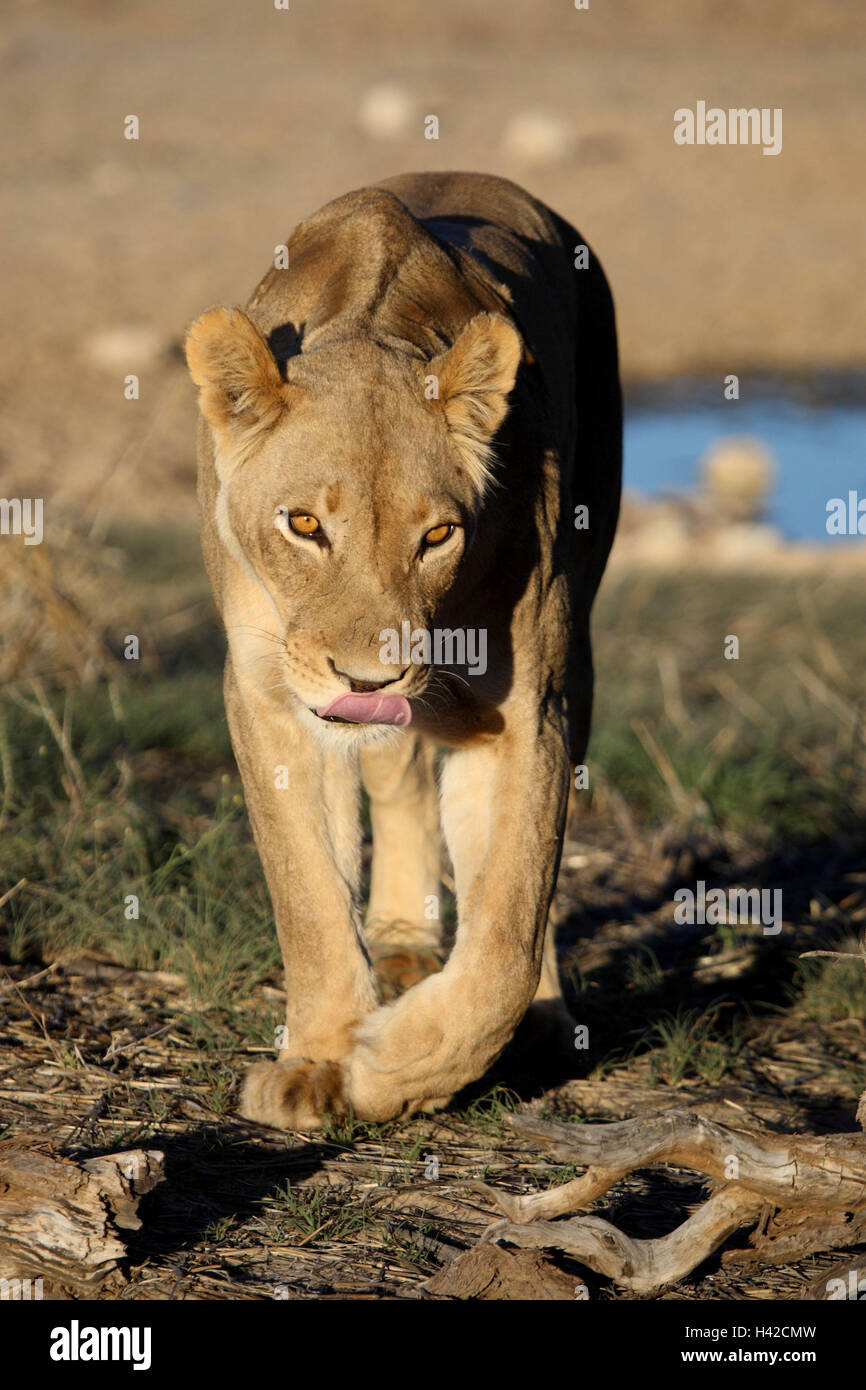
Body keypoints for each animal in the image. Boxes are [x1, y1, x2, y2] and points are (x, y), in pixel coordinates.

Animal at [184, 171, 621, 1128]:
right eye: (303, 524)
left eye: (437, 536)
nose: (369, 678)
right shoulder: (267, 699)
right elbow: (308, 899)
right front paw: (315, 1064)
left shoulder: (526, 710)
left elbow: (506, 928)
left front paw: (392, 1066)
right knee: (397, 777)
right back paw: (399, 943)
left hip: (577, 643)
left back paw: (540, 1020)